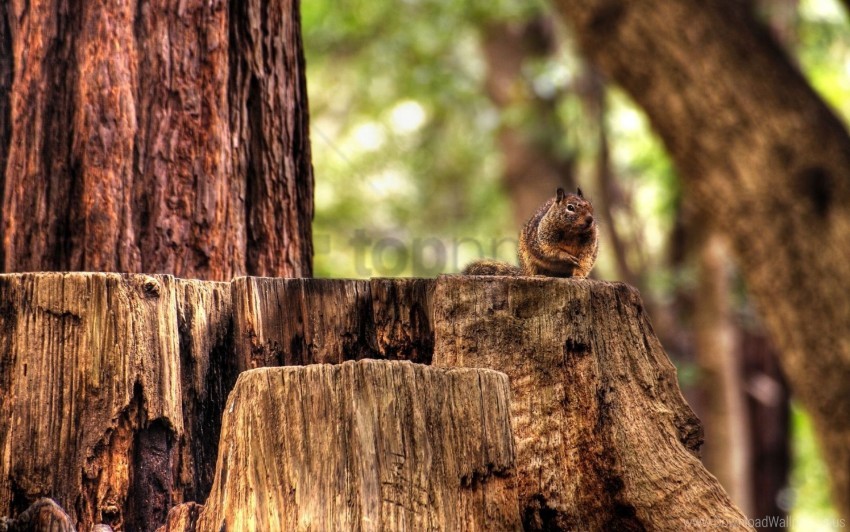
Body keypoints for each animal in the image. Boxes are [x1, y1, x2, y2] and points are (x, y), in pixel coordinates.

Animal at [463, 187, 599, 278]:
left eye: (590, 205)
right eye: (570, 207)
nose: (590, 219)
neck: (572, 232)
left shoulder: (590, 245)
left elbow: (584, 260)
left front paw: (579, 276)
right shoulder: (542, 239)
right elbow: (549, 250)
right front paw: (566, 256)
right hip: (527, 259)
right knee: (532, 271)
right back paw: (538, 276)